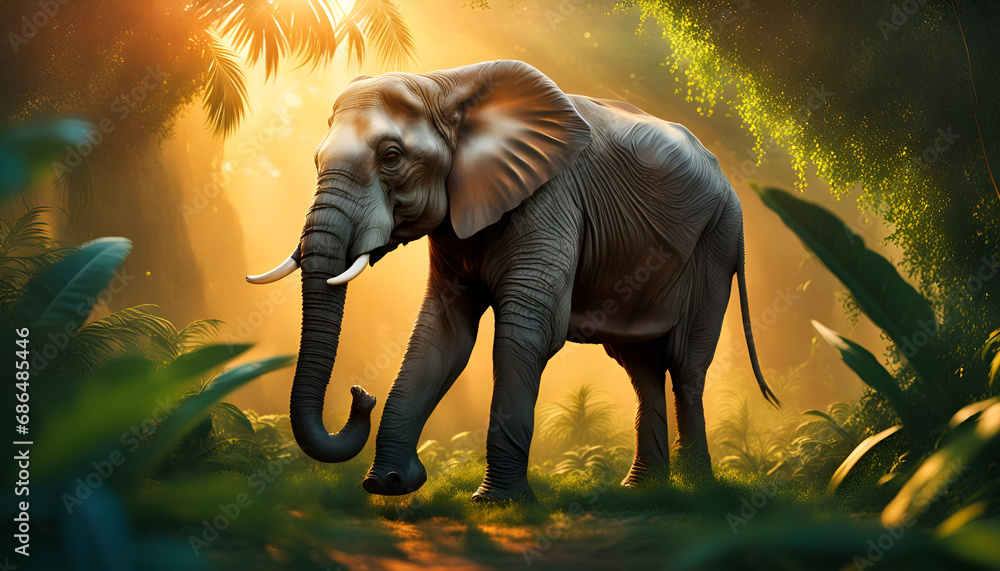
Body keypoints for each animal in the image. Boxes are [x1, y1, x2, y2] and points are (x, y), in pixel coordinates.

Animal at [246, 60, 779, 503]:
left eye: (392, 156)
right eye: (316, 160)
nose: (362, 395)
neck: (444, 84)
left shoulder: (552, 197)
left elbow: (527, 332)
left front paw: (496, 501)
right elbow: (443, 335)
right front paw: (391, 485)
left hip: (717, 241)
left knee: (685, 365)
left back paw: (698, 492)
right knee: (640, 365)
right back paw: (642, 492)